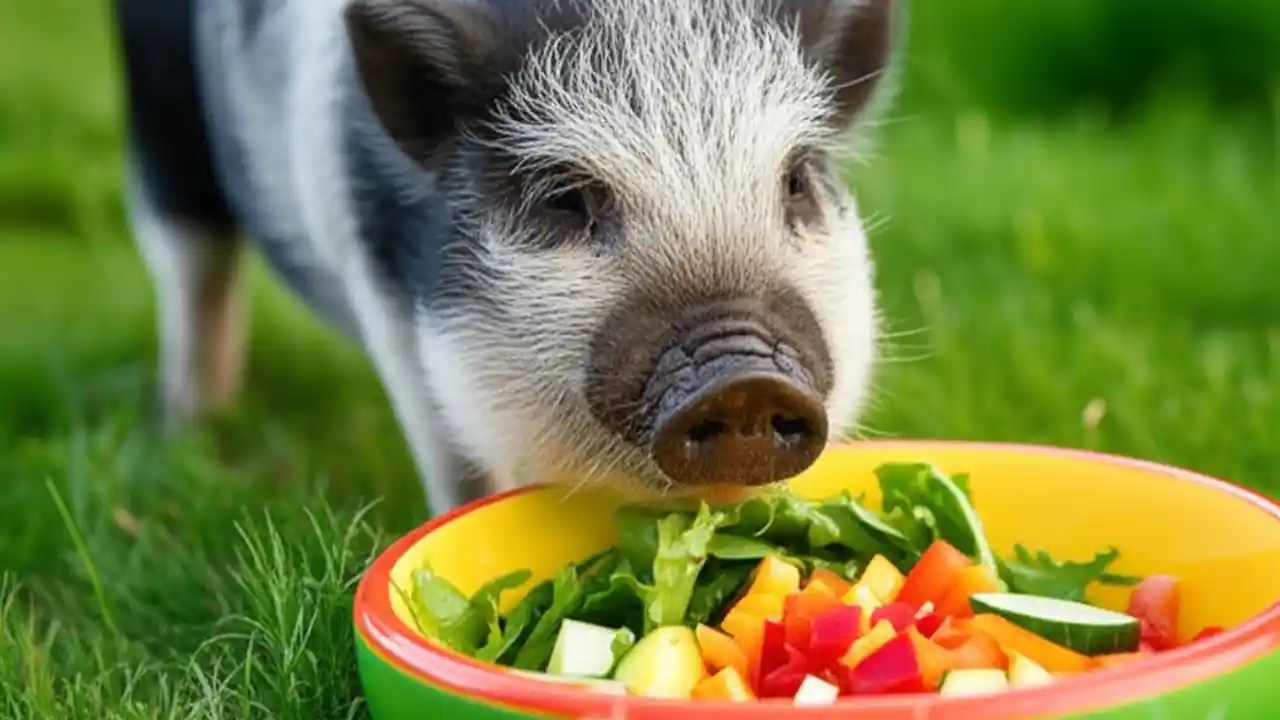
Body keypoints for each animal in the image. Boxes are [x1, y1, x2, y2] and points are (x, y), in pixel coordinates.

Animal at [114, 0, 901, 515]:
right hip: (159, 114)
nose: (746, 380)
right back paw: (187, 432)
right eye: (566, 199)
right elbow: (457, 460)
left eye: (796, 180)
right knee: (194, 267)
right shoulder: (394, 307)